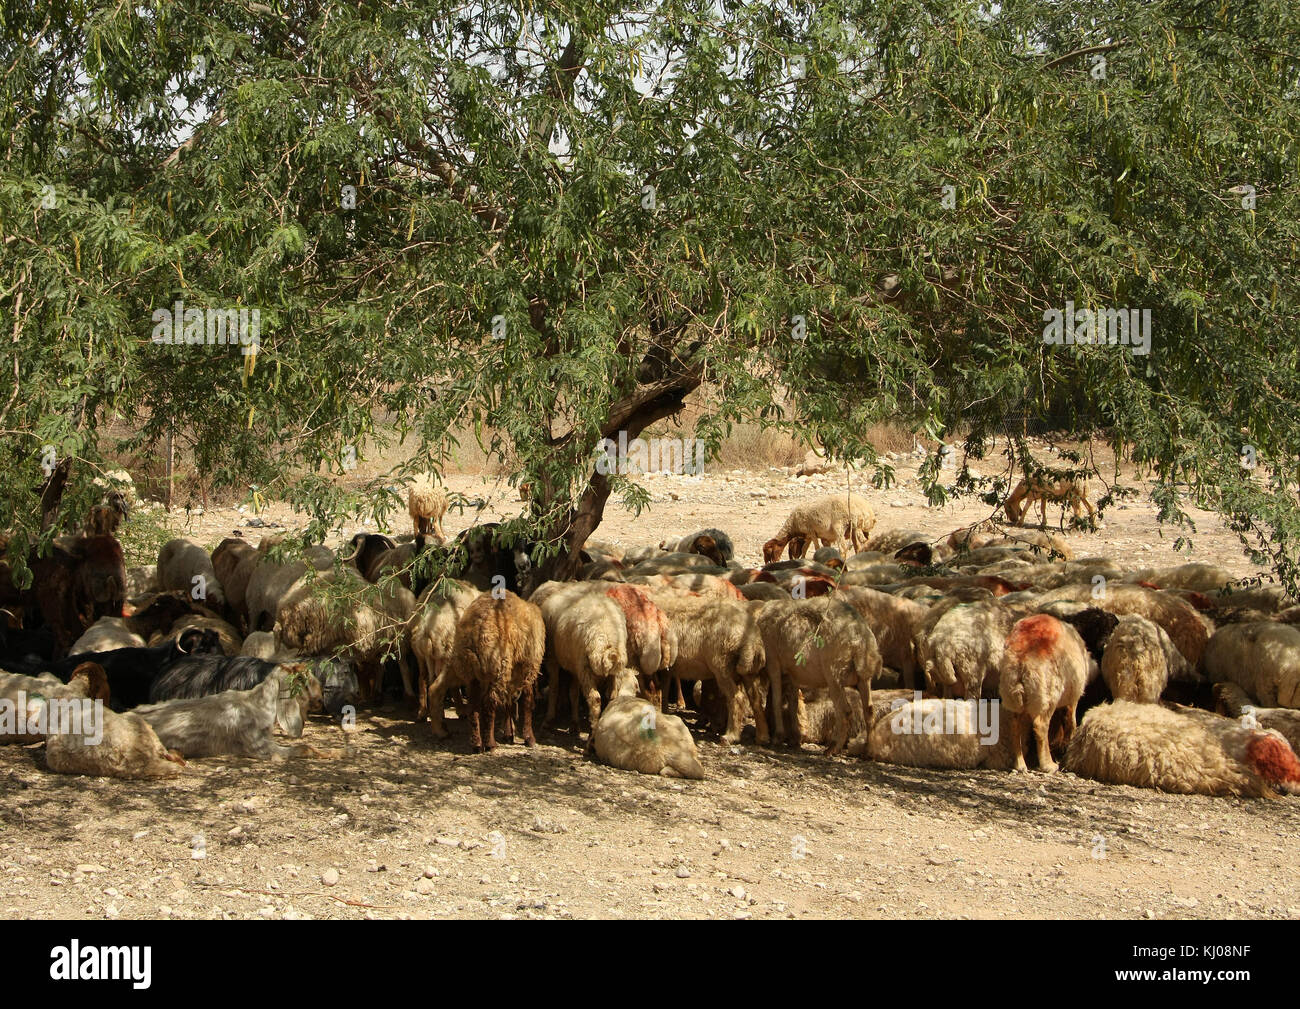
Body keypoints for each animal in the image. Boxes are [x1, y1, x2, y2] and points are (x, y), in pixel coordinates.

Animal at [451, 592, 546, 752]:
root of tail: (475, 633)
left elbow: (508, 702)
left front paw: (508, 734)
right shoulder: (528, 665)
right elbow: (527, 701)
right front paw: (529, 738)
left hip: (472, 673)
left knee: (474, 706)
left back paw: (477, 743)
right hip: (497, 668)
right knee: (489, 704)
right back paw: (490, 744)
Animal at [652, 593, 767, 745]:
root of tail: (750, 637)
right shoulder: (666, 667)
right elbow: (664, 689)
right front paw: (664, 713)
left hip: (721, 664)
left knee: (737, 697)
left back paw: (730, 736)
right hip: (748, 670)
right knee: (756, 699)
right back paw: (762, 737)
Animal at [759, 596, 881, 754]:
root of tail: (860, 638)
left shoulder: (773, 662)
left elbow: (777, 700)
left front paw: (778, 737)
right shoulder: (793, 674)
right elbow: (793, 704)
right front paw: (794, 739)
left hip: (834, 674)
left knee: (845, 711)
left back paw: (833, 748)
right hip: (864, 678)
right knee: (869, 711)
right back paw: (868, 750)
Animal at [998, 613, 1095, 772]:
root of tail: (1020, 660)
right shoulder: (1072, 697)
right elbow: (1071, 721)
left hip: (1012, 696)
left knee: (1014, 725)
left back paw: (1020, 764)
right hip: (1047, 693)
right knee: (1040, 725)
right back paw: (1048, 765)